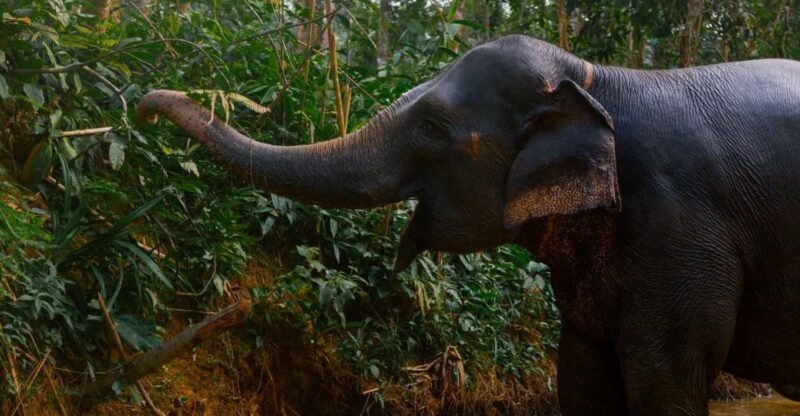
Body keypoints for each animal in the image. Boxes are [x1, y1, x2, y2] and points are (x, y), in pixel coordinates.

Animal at [136, 35, 800, 415]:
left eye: (431, 126)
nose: (143, 103)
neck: (600, 79)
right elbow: (581, 378)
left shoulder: (680, 225)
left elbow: (665, 381)